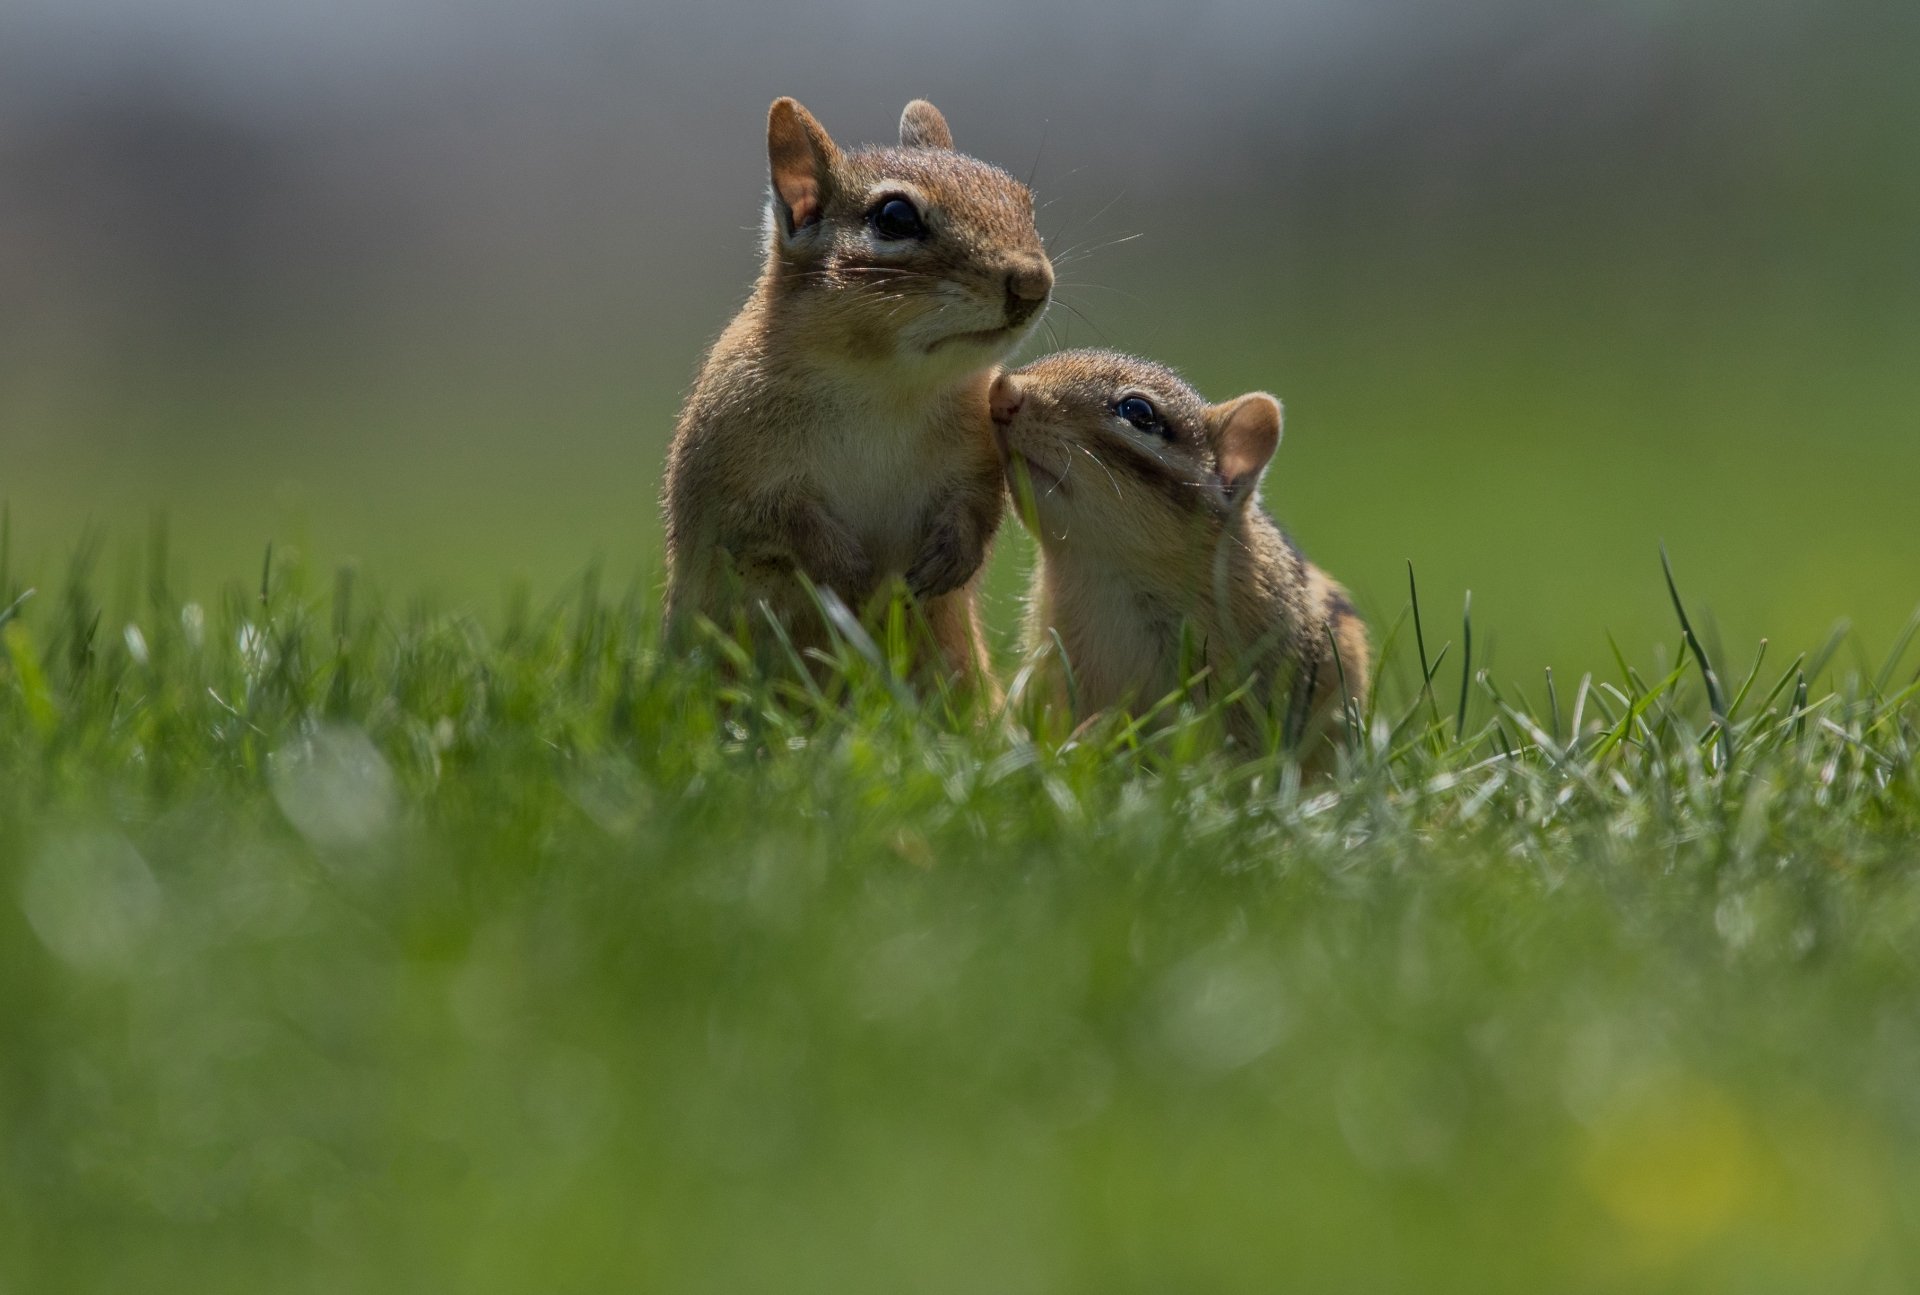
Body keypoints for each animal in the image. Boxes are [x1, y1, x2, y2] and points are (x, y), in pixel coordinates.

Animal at [662, 98, 1053, 690]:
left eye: (1024, 203)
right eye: (895, 217)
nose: (1034, 283)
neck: (885, 385)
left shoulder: (977, 456)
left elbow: (979, 505)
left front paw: (949, 558)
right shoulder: (730, 474)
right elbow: (775, 521)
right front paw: (851, 574)